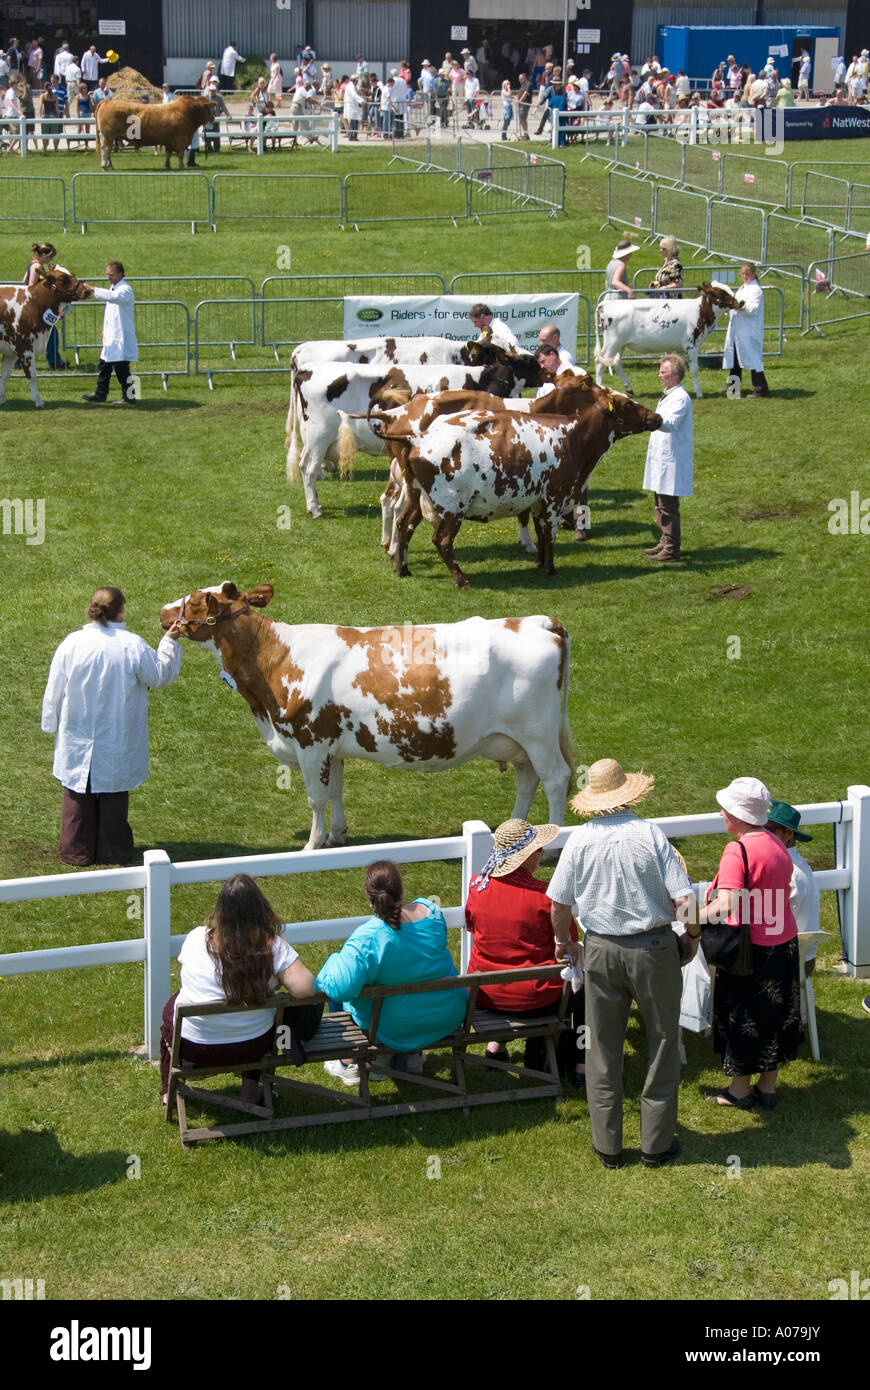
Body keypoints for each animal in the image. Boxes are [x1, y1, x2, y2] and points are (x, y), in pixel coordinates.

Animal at [0, 267, 93, 408]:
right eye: (62, 278)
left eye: (73, 274)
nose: (87, 291)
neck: (34, 302)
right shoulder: (24, 346)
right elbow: (32, 375)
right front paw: (38, 401)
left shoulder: (10, 351)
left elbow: (4, 375)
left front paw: (2, 400)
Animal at [159, 582, 573, 851]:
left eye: (194, 601)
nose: (163, 612)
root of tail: (537, 621)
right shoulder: (332, 746)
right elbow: (336, 791)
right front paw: (337, 835)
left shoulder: (311, 743)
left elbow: (315, 798)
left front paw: (312, 845)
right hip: (517, 741)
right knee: (527, 780)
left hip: (538, 734)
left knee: (555, 779)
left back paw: (552, 842)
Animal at [286, 354, 543, 518]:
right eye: (529, 361)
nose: (546, 372)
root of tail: (307, 369)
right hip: (319, 434)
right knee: (307, 467)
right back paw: (315, 507)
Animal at [390, 389, 662, 587]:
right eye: (628, 405)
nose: (657, 418)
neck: (574, 438)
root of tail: (419, 437)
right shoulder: (554, 498)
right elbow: (550, 535)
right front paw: (550, 568)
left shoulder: (538, 501)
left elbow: (540, 533)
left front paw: (541, 564)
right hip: (452, 506)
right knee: (442, 540)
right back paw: (461, 579)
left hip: (416, 495)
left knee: (404, 524)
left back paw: (403, 568)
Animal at [595, 282, 743, 397]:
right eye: (722, 292)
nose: (740, 302)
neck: (701, 312)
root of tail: (605, 304)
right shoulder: (692, 345)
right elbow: (694, 370)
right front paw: (699, 393)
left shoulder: (682, 348)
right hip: (612, 342)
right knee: (600, 363)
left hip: (621, 344)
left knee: (616, 362)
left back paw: (629, 388)